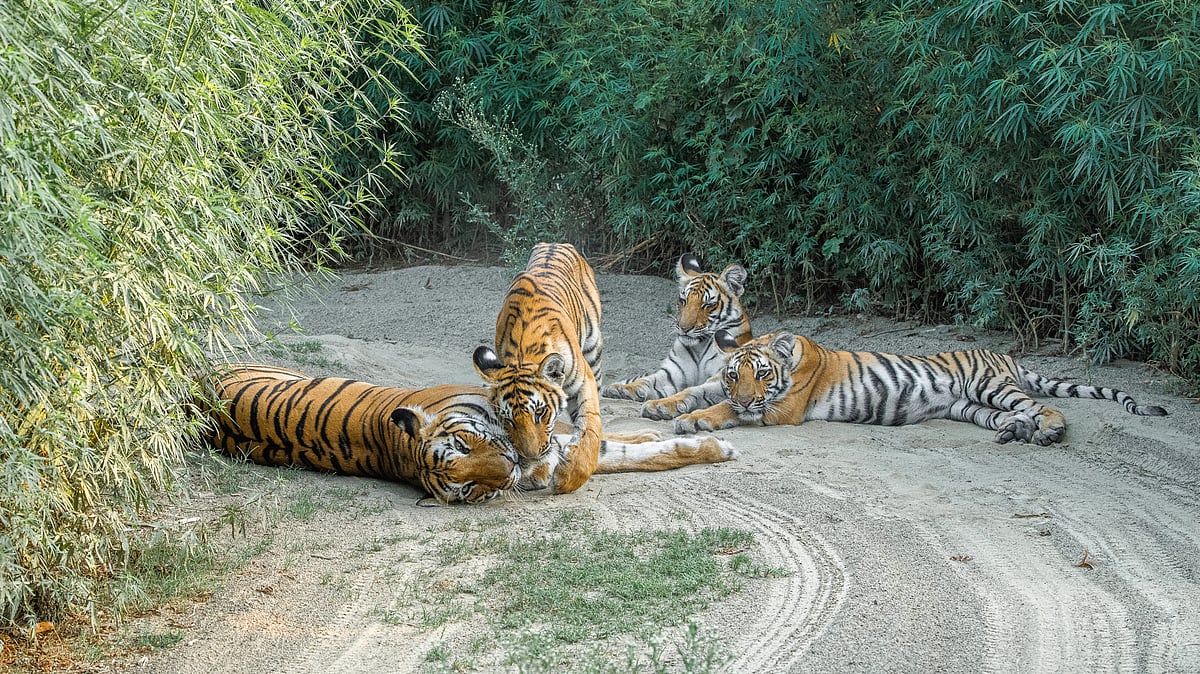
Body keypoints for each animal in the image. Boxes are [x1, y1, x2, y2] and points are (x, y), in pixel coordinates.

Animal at [601, 252, 752, 403]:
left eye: (708, 305)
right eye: (683, 301)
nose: (684, 328)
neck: (700, 347)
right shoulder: (672, 374)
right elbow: (647, 380)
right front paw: (622, 389)